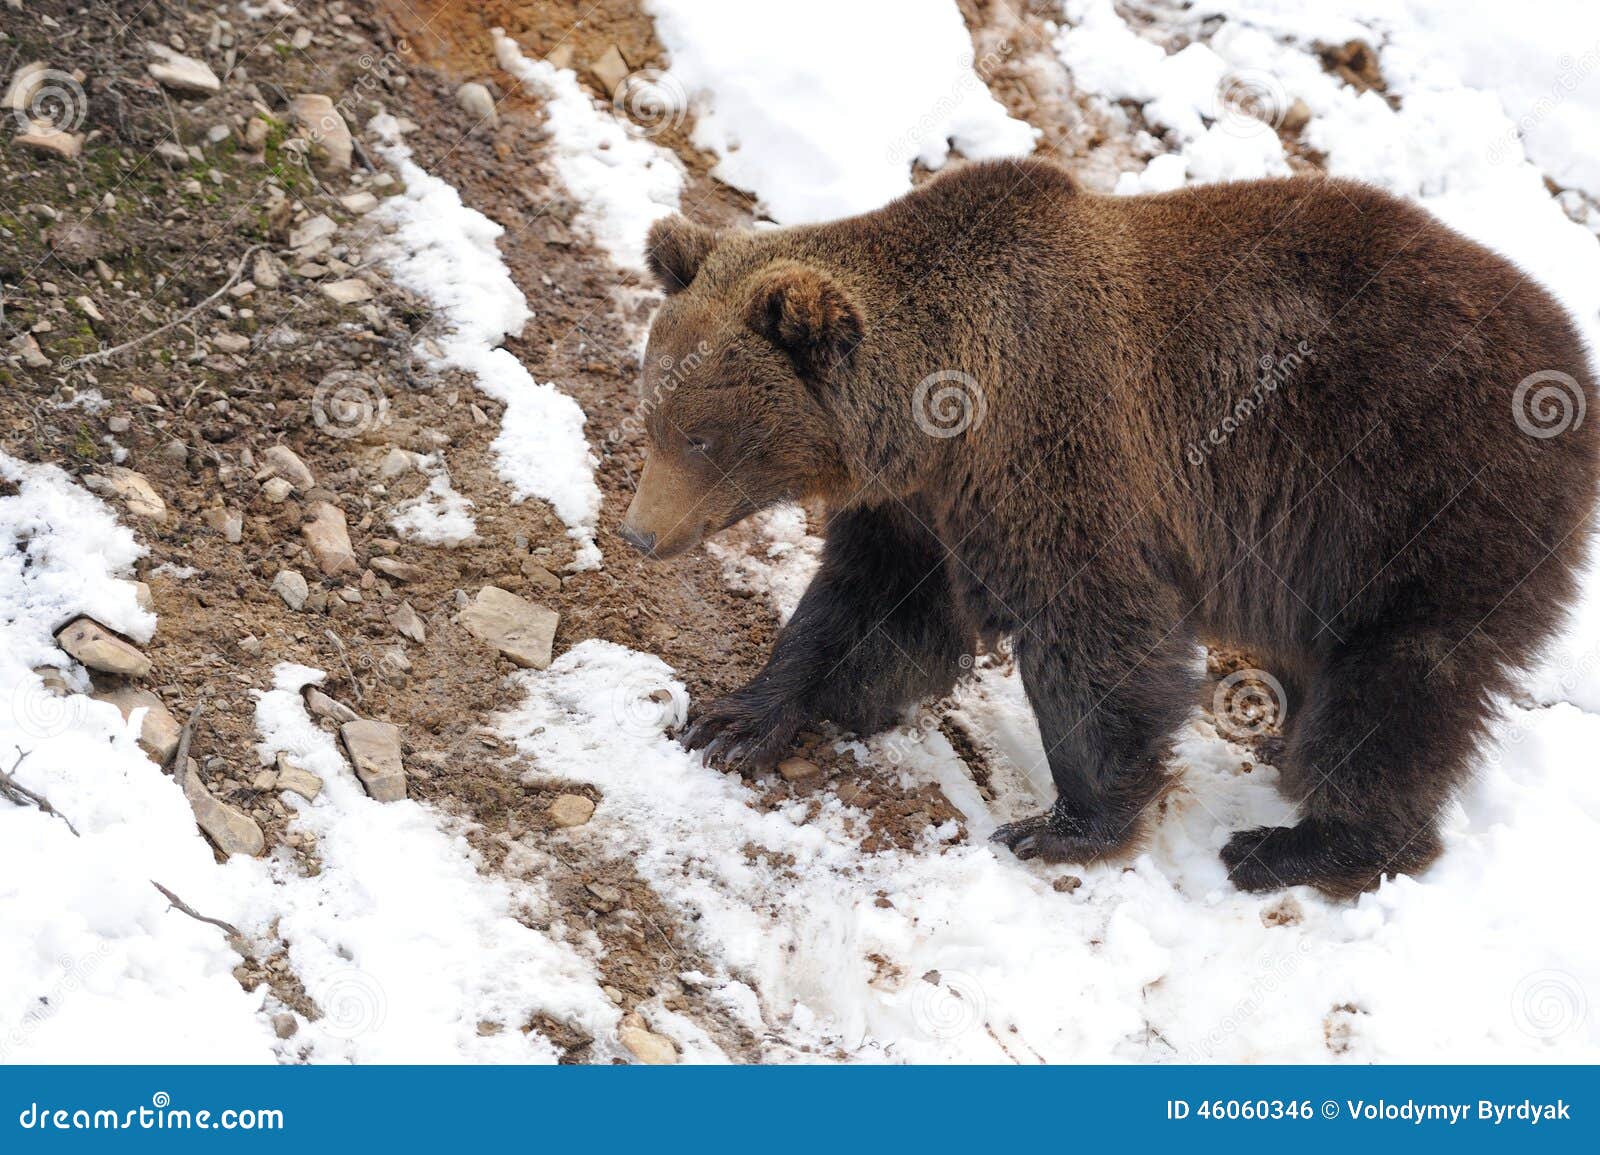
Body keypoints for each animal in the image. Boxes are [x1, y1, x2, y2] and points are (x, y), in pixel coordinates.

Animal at [617, 156, 1599, 897]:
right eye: (655, 409)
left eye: (704, 435)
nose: (637, 534)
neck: (937, 419)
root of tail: (1575, 366)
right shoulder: (922, 510)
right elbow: (866, 610)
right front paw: (736, 715)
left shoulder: (1060, 449)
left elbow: (1093, 631)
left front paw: (1064, 823)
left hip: (1427, 499)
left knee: (1405, 680)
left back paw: (1305, 844)